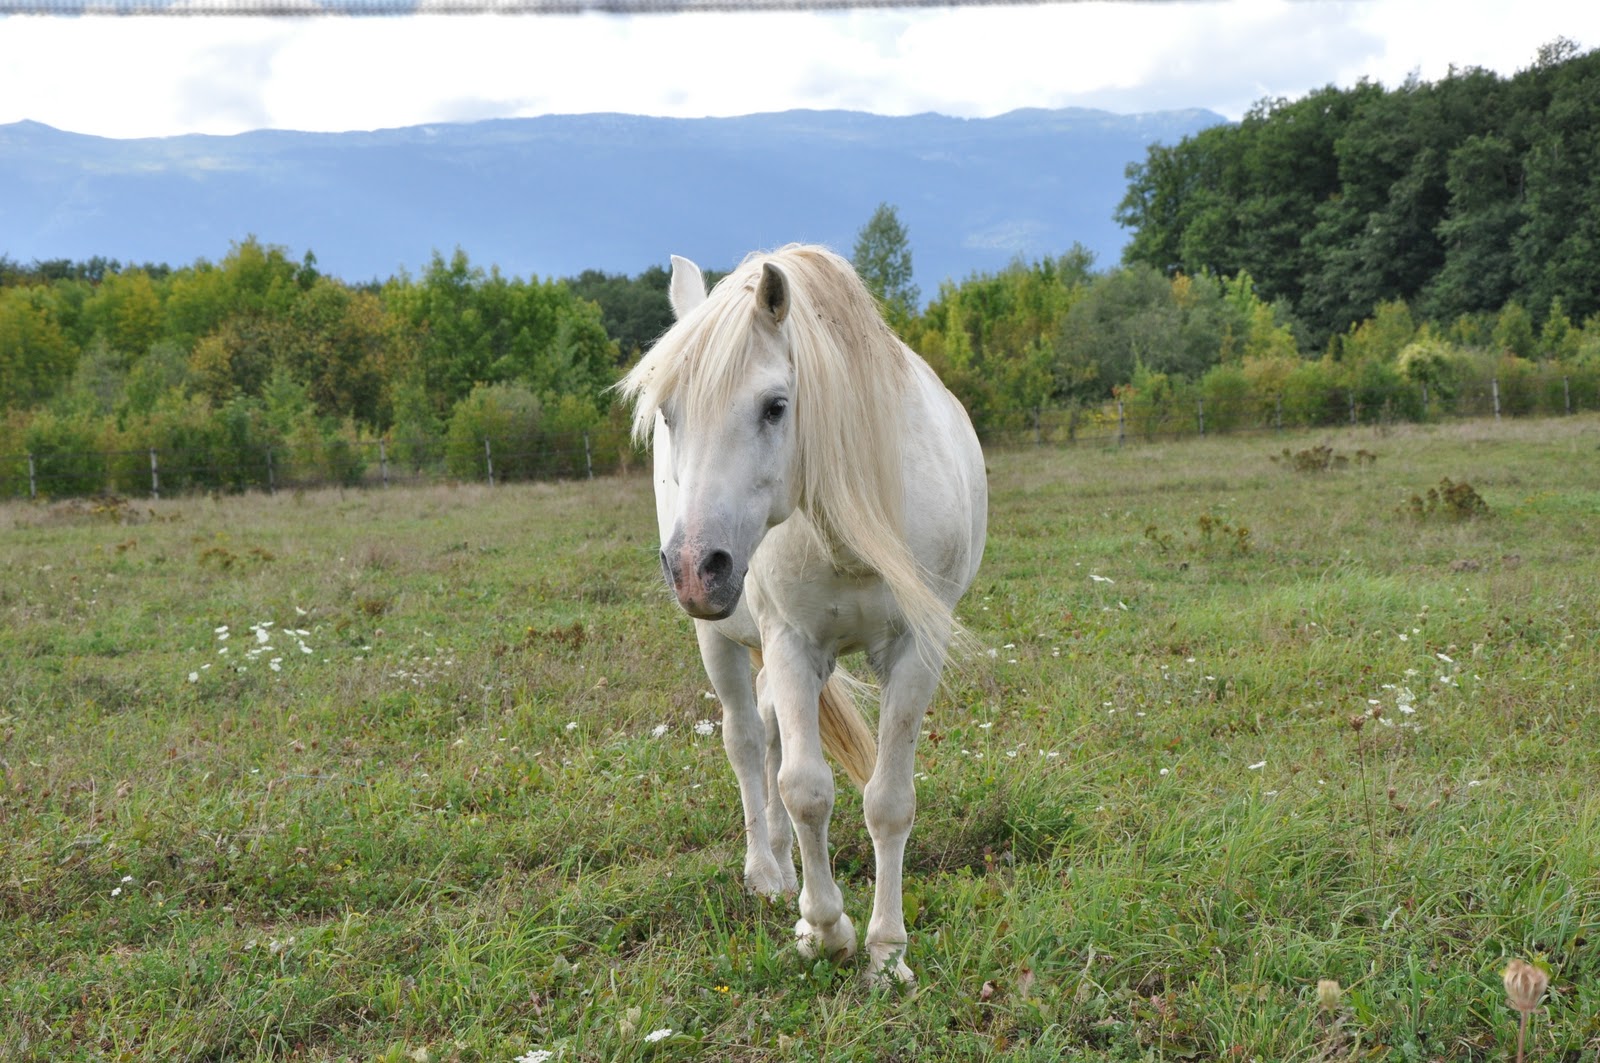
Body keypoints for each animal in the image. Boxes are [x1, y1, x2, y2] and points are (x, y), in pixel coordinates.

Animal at [618, 244, 987, 985]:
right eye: (668, 413)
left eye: (775, 406)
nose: (697, 567)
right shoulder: (790, 642)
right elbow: (806, 788)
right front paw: (824, 930)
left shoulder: (917, 648)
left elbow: (889, 801)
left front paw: (887, 952)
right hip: (721, 639)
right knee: (744, 738)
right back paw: (767, 871)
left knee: (768, 729)